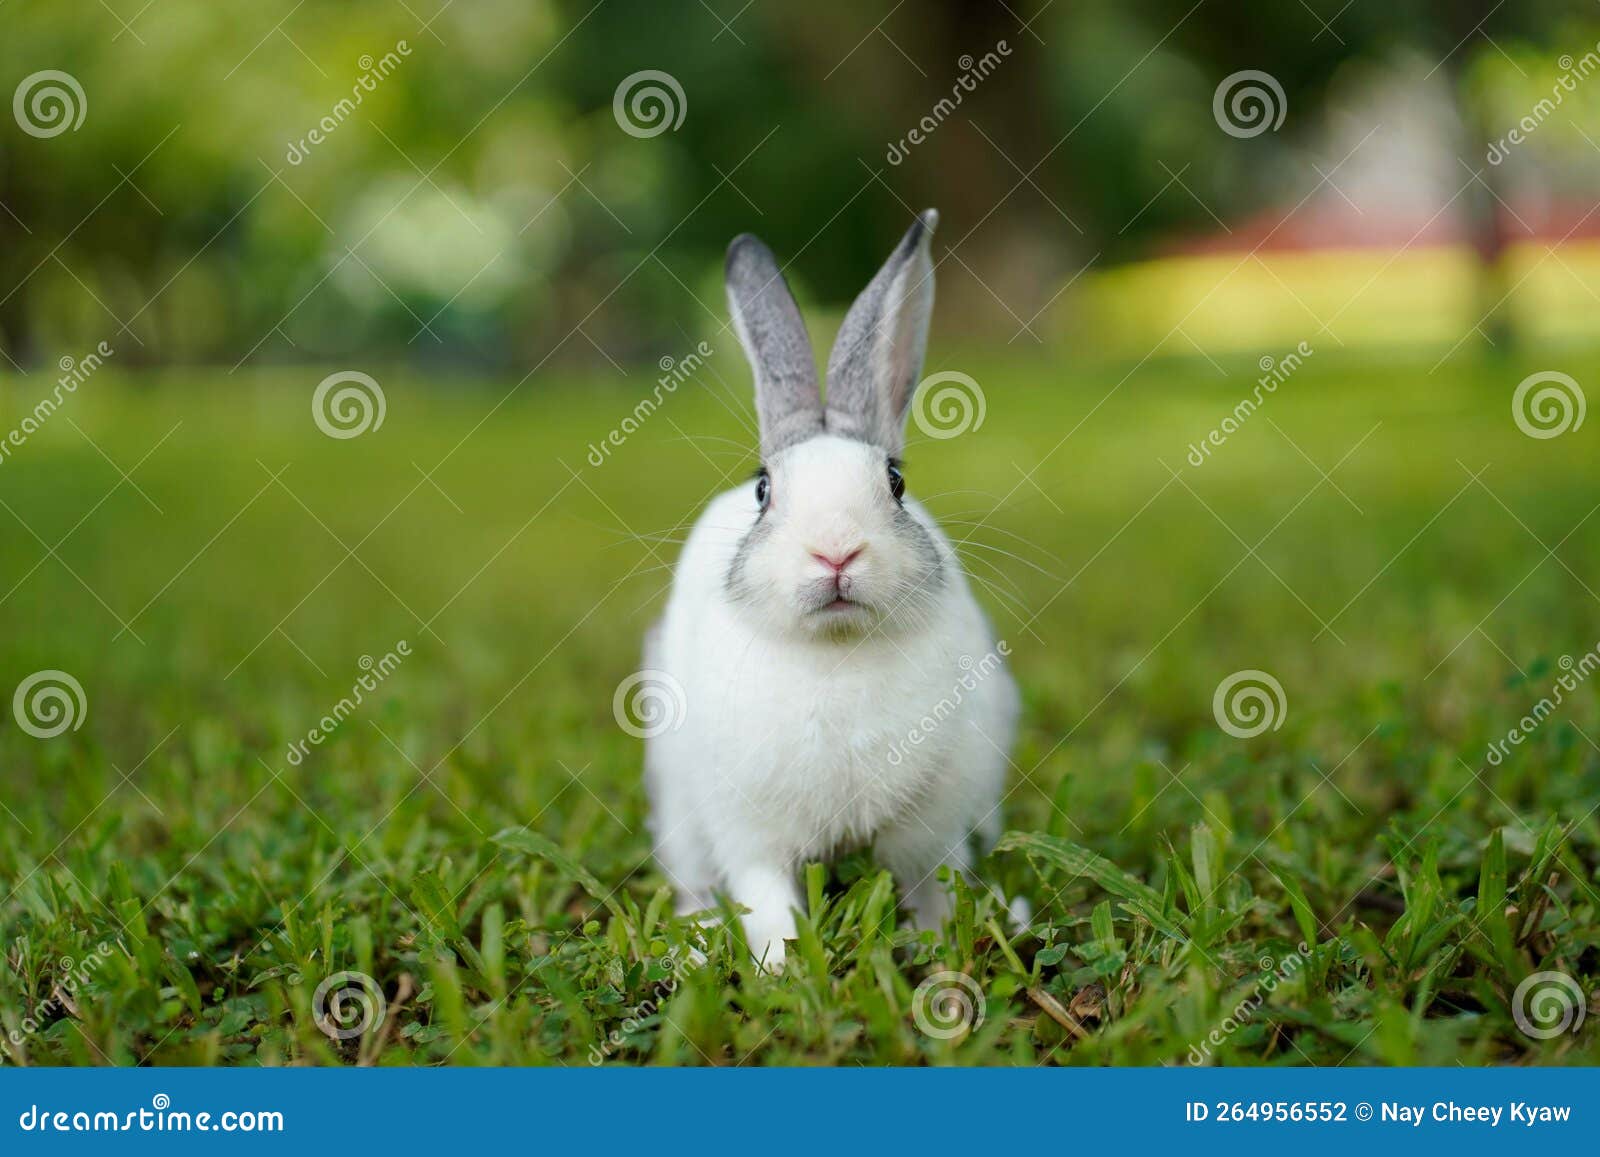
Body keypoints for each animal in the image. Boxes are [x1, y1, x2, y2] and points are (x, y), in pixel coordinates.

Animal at [643, 209, 1020, 969]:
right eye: (764, 490)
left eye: (895, 482)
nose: (836, 549)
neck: (836, 651)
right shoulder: (751, 836)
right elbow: (767, 901)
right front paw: (781, 968)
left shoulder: (930, 833)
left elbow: (932, 889)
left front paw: (941, 948)